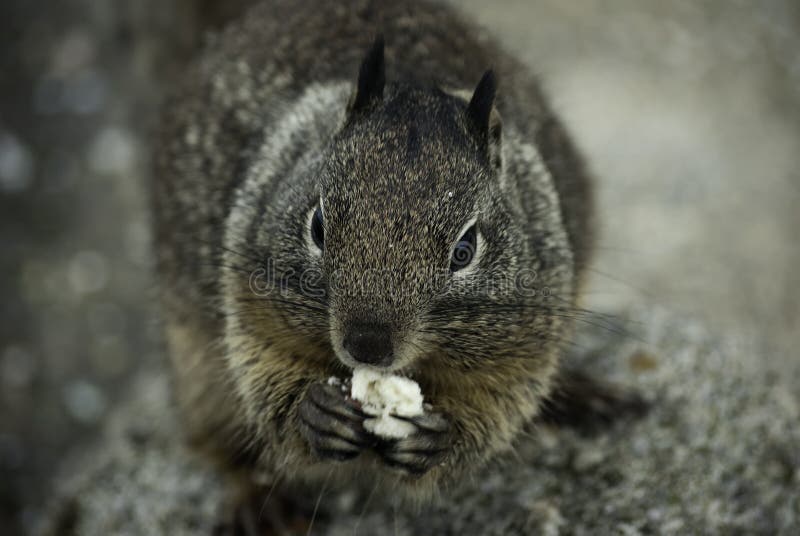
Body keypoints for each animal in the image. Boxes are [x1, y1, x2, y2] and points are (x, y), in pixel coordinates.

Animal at [152, 0, 641, 515]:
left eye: (465, 250)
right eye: (318, 225)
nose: (367, 344)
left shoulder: (527, 346)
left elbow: (496, 407)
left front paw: (437, 439)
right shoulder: (250, 304)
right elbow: (265, 379)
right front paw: (316, 412)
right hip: (193, 369)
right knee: (220, 447)